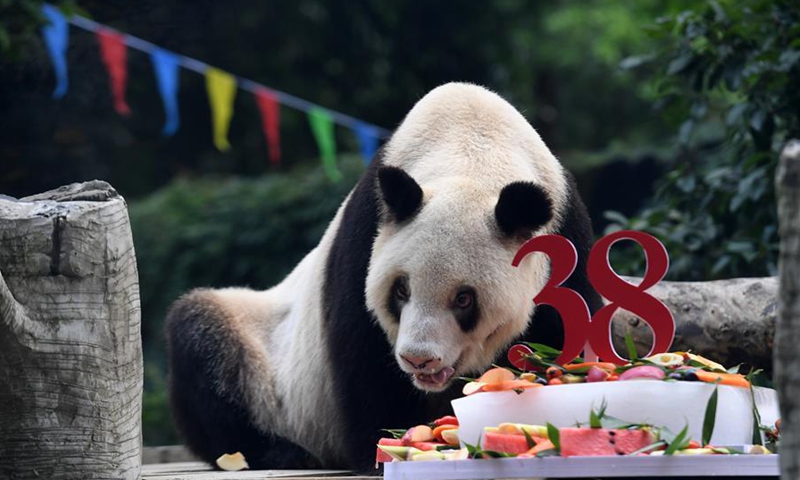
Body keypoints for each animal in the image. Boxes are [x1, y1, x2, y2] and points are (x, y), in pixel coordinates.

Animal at [165, 82, 602, 471]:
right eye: (401, 290)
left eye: (464, 299)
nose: (418, 359)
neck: (471, 151)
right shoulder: (368, 231)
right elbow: (364, 352)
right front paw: (384, 447)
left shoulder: (564, 233)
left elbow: (568, 327)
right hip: (265, 363)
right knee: (201, 339)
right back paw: (280, 452)